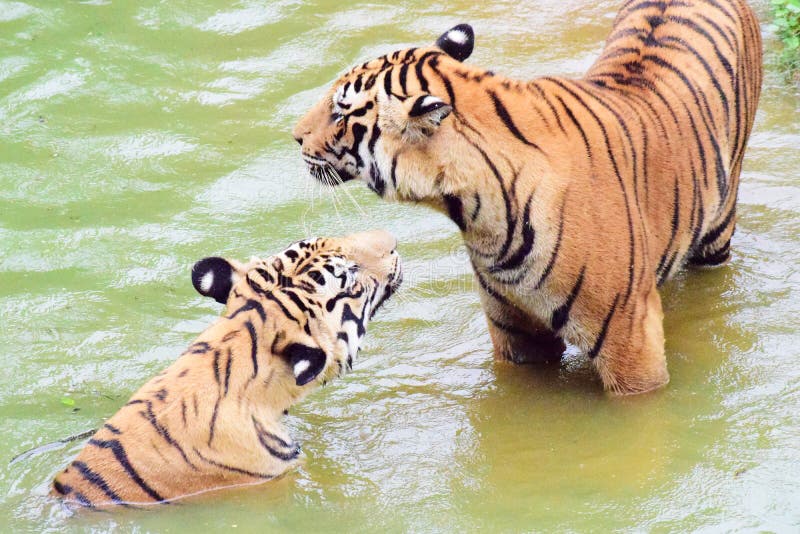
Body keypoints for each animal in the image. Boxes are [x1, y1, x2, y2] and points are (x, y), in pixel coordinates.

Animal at [292, 0, 763, 394]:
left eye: (340, 112)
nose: (294, 136)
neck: (475, 214)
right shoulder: (516, 333)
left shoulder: (629, 339)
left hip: (717, 229)